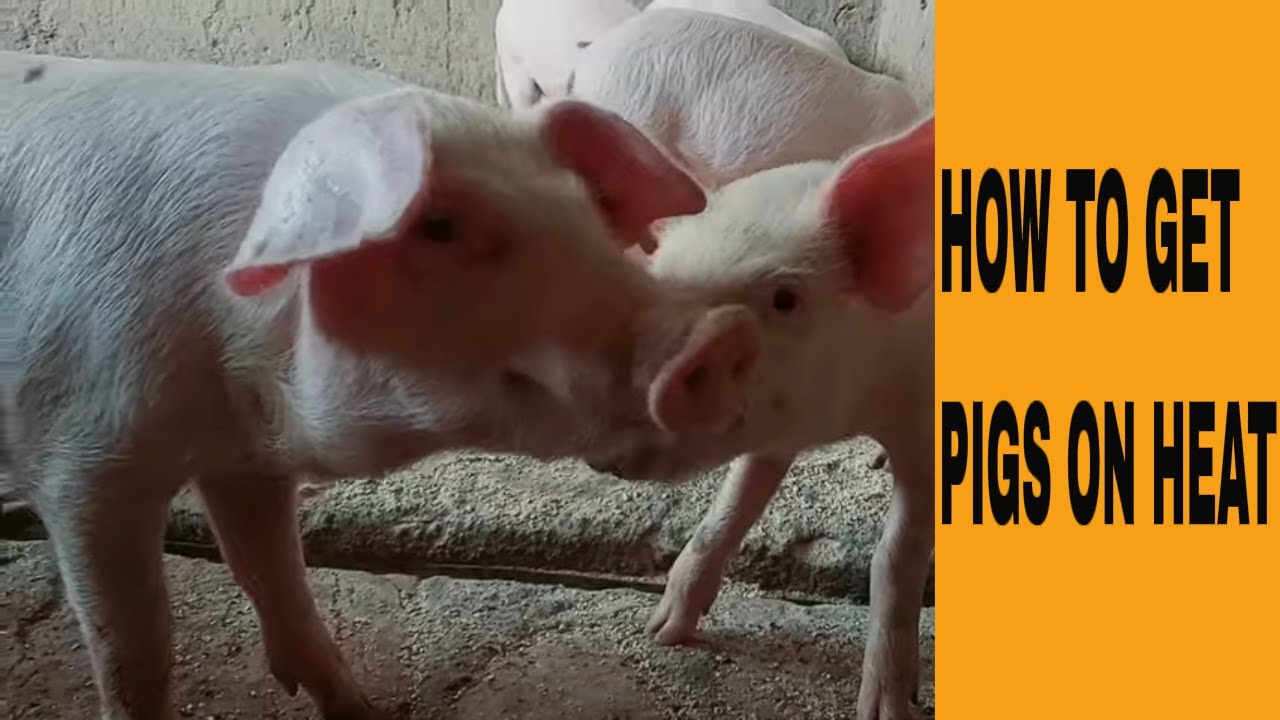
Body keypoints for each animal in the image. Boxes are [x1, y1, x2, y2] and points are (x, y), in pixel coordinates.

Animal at [0, 51, 764, 720]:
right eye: (439, 226)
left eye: (588, 211)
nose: (721, 329)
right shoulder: (82, 464)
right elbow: (135, 650)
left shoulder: (244, 459)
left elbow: (276, 578)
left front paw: (362, 710)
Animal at [585, 117, 936, 720]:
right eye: (658, 283)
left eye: (785, 299)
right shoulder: (770, 431)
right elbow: (730, 508)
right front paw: (662, 631)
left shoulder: (924, 425)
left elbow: (896, 556)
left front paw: (888, 711)